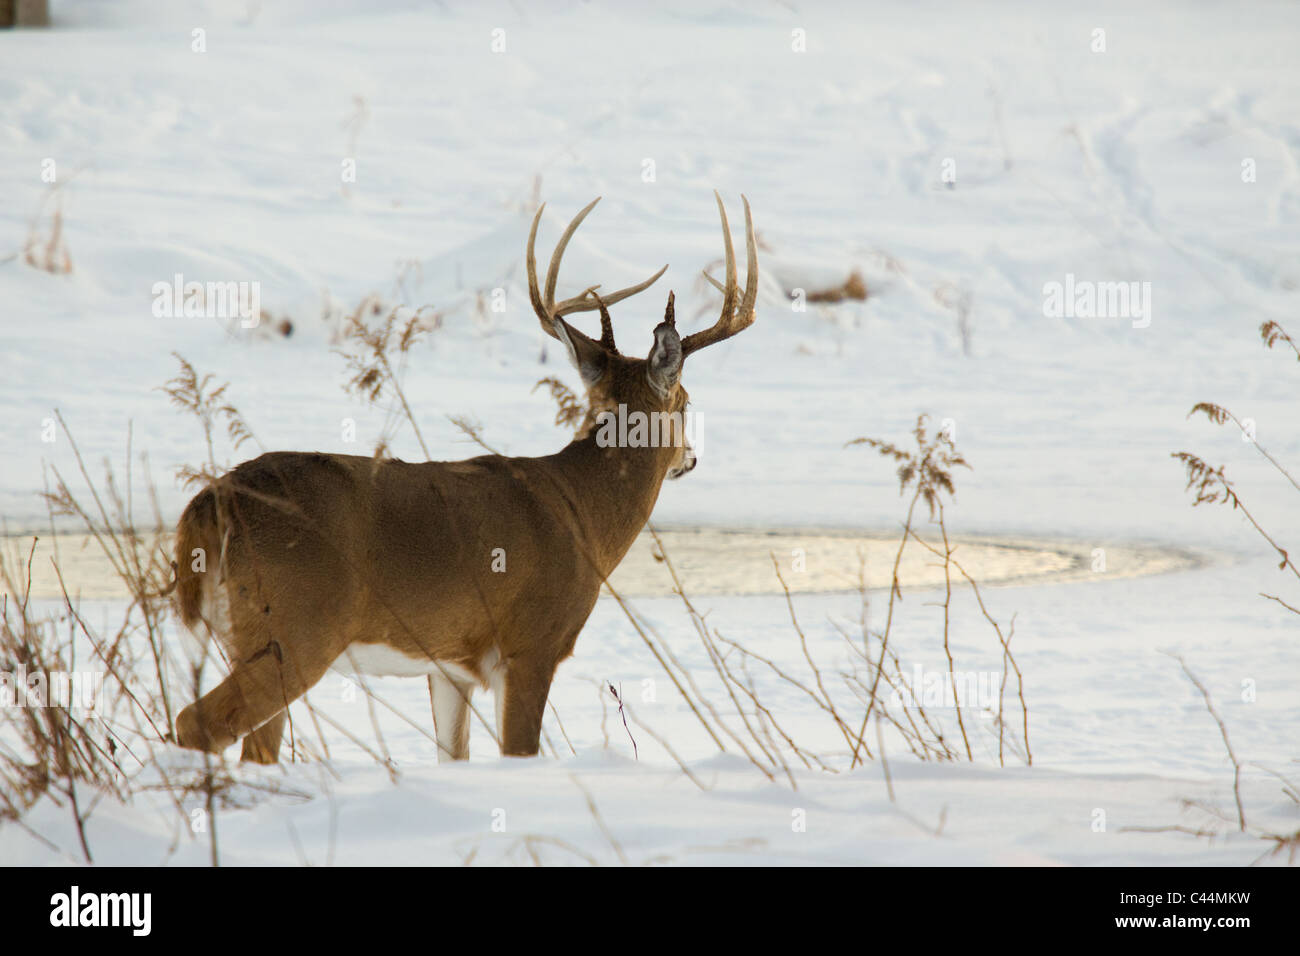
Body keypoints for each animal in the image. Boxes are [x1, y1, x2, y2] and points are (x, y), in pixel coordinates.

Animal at [170, 192, 757, 763]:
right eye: (686, 401)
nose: (690, 458)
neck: (583, 513)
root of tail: (210, 503)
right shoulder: (531, 645)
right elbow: (519, 752)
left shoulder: (450, 666)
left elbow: (453, 755)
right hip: (296, 629)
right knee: (198, 722)